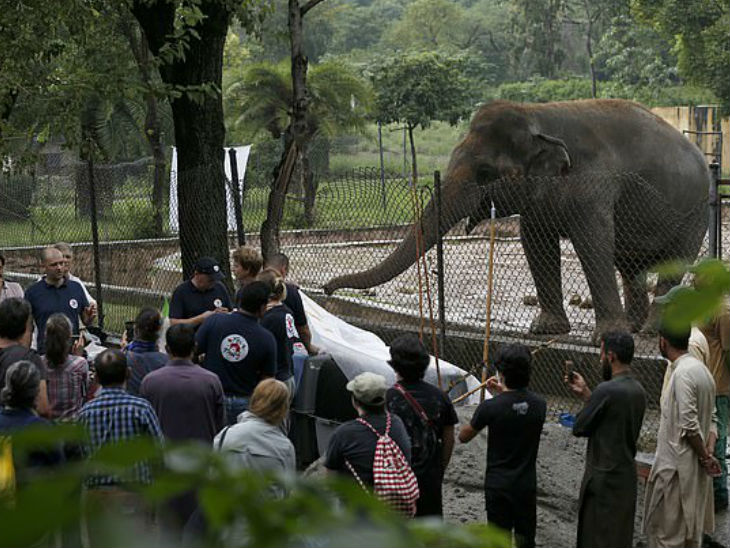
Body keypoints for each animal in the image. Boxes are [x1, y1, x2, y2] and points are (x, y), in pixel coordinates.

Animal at [323, 99, 710, 341]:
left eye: (484, 173)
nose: (326, 291)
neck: (537, 115)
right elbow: (534, 241)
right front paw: (545, 331)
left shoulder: (594, 186)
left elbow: (592, 241)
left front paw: (604, 337)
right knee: (631, 265)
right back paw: (634, 327)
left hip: (695, 210)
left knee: (675, 260)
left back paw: (651, 331)